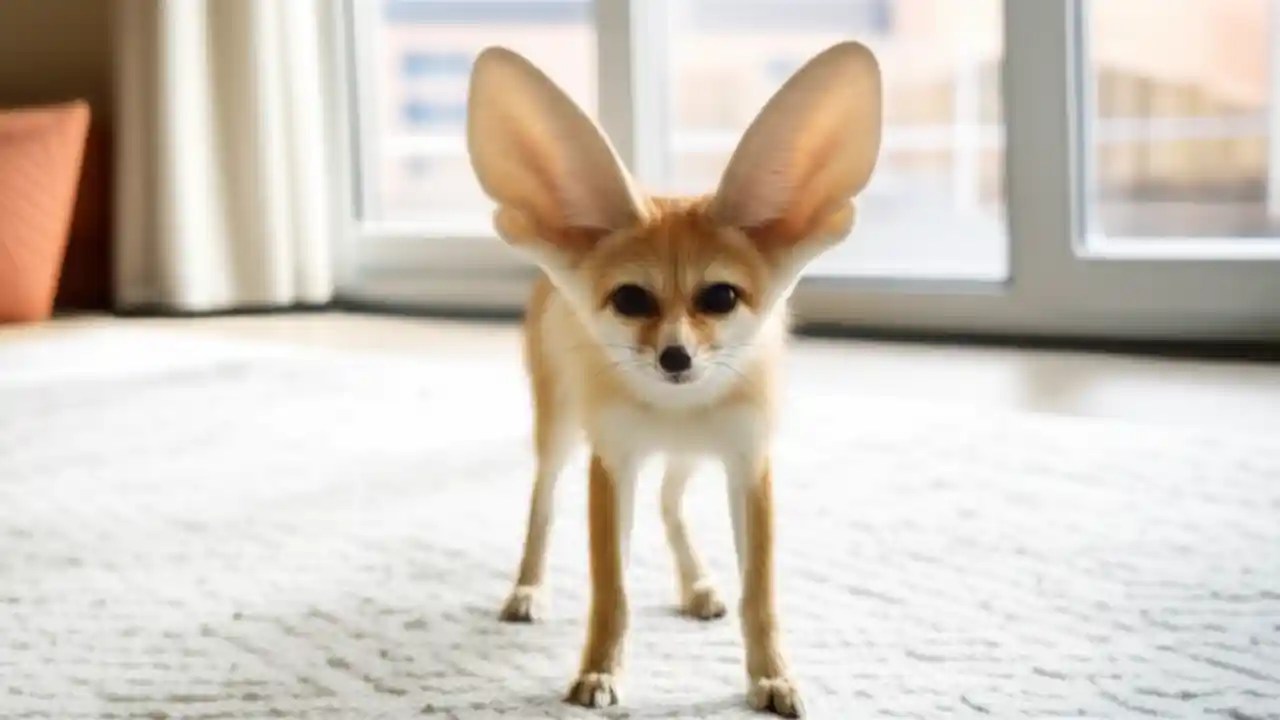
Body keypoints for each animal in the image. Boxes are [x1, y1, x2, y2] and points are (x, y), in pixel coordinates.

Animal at [465, 41, 882, 717]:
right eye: (632, 300)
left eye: (720, 297)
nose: (675, 358)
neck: (675, 410)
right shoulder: (612, 462)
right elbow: (612, 591)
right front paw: (600, 669)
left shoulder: (748, 463)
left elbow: (760, 595)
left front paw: (771, 676)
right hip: (558, 432)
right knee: (542, 502)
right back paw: (527, 589)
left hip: (689, 456)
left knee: (669, 500)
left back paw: (697, 583)